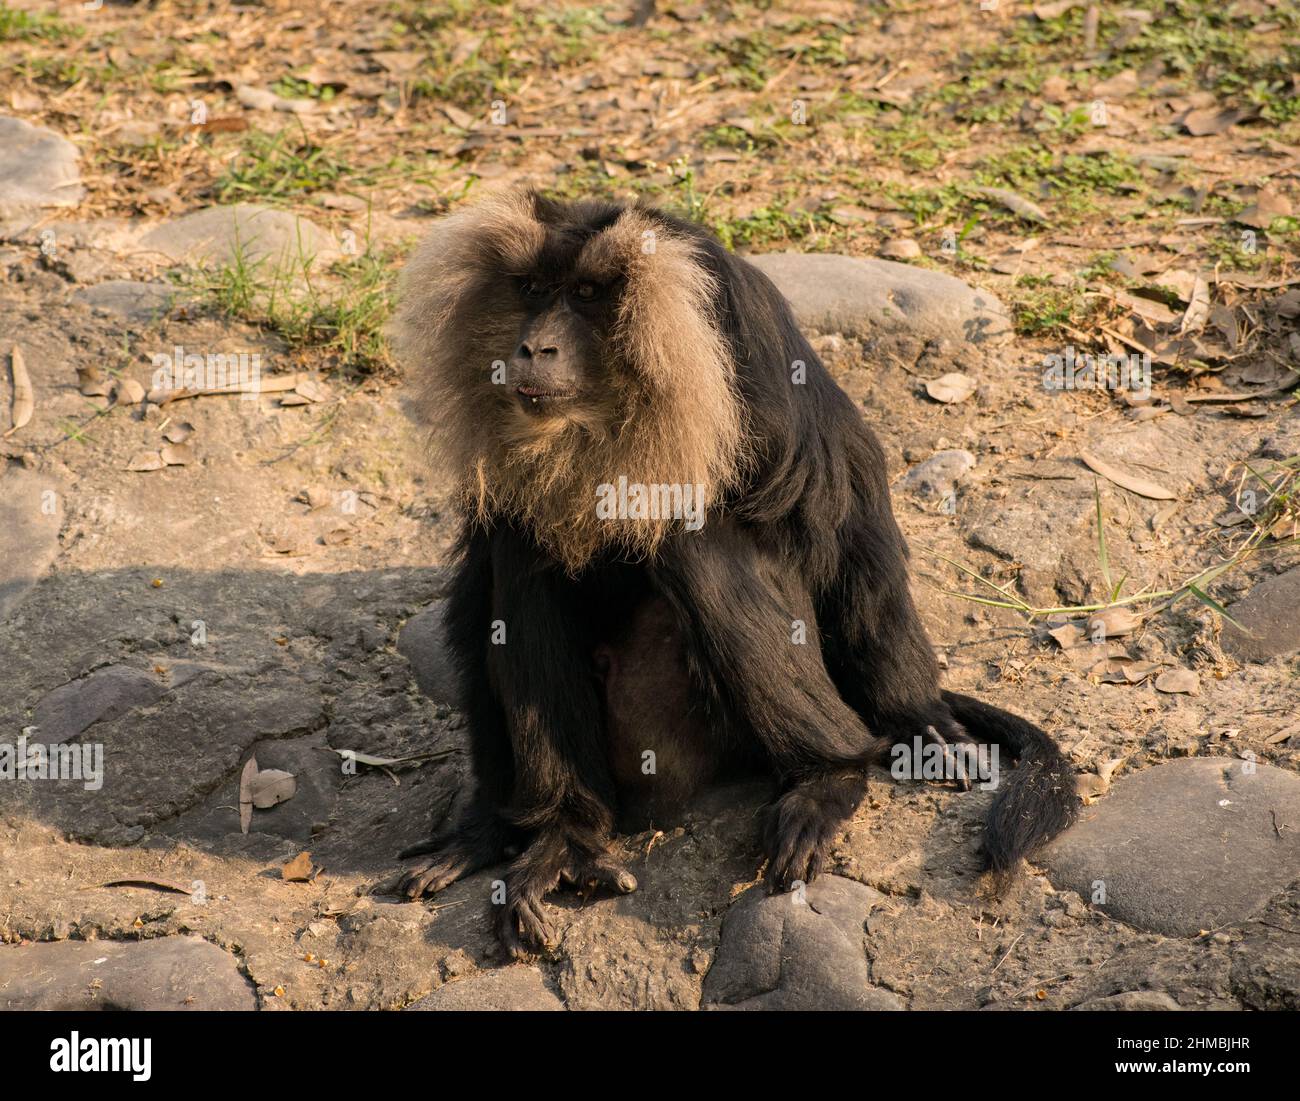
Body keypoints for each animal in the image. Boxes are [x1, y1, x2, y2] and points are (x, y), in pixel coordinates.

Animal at [390, 190, 1077, 957]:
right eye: (534, 290)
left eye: (590, 294)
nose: (535, 346)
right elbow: (492, 561)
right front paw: (490, 828)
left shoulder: (737, 321)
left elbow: (840, 515)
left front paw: (914, 717)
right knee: (524, 544)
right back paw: (565, 833)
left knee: (695, 538)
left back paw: (828, 773)